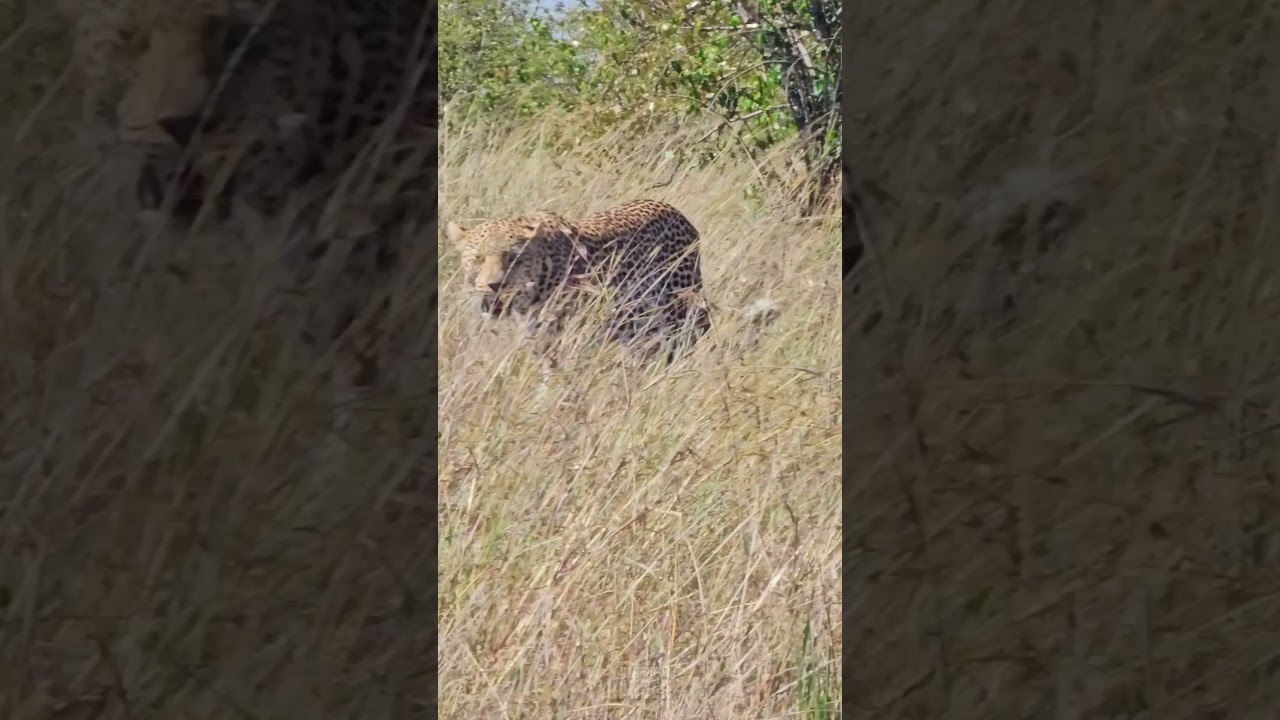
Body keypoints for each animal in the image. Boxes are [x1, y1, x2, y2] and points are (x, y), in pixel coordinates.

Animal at [445, 200, 712, 368]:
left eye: (514, 258)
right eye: (478, 258)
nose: (494, 285)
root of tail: (675, 211)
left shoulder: (568, 338)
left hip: (677, 317)